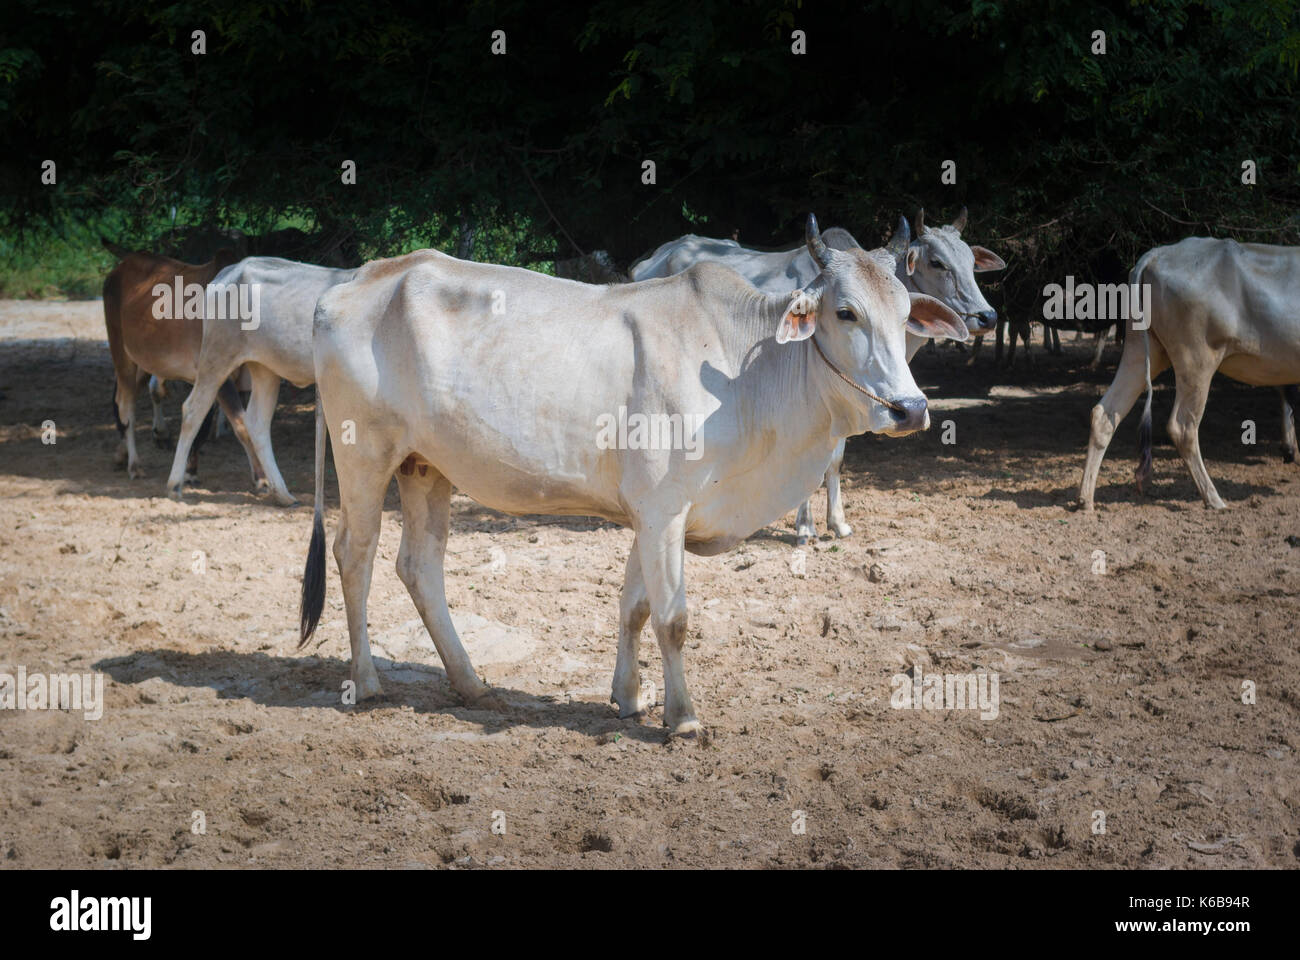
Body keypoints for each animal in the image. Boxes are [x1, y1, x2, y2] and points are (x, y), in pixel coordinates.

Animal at [101, 240, 263, 484]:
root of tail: (121, 267)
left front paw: (191, 469)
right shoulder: (218, 377)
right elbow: (238, 423)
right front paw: (261, 478)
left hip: (145, 359)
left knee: (128, 396)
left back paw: (123, 454)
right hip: (121, 351)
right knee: (125, 404)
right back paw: (134, 465)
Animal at [164, 257, 356, 506]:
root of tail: (230, 270)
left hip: (264, 369)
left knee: (256, 421)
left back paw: (281, 493)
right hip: (216, 357)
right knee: (193, 410)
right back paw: (175, 485)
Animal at [299, 215, 966, 735]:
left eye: (905, 312)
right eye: (846, 313)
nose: (911, 409)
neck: (743, 370)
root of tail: (352, 284)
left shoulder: (656, 515)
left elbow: (635, 608)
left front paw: (628, 698)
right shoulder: (663, 507)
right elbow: (673, 619)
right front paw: (682, 716)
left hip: (426, 468)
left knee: (420, 566)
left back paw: (471, 684)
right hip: (364, 456)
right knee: (354, 554)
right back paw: (367, 681)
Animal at [633, 208, 1004, 543]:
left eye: (971, 262)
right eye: (937, 263)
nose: (986, 316)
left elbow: (835, 462)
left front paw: (837, 523)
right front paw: (805, 527)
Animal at [1079, 237, 1300, 510]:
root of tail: (1156, 254)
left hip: (1140, 351)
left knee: (1106, 413)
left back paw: (1085, 499)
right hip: (1197, 358)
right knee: (1183, 427)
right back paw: (1214, 499)